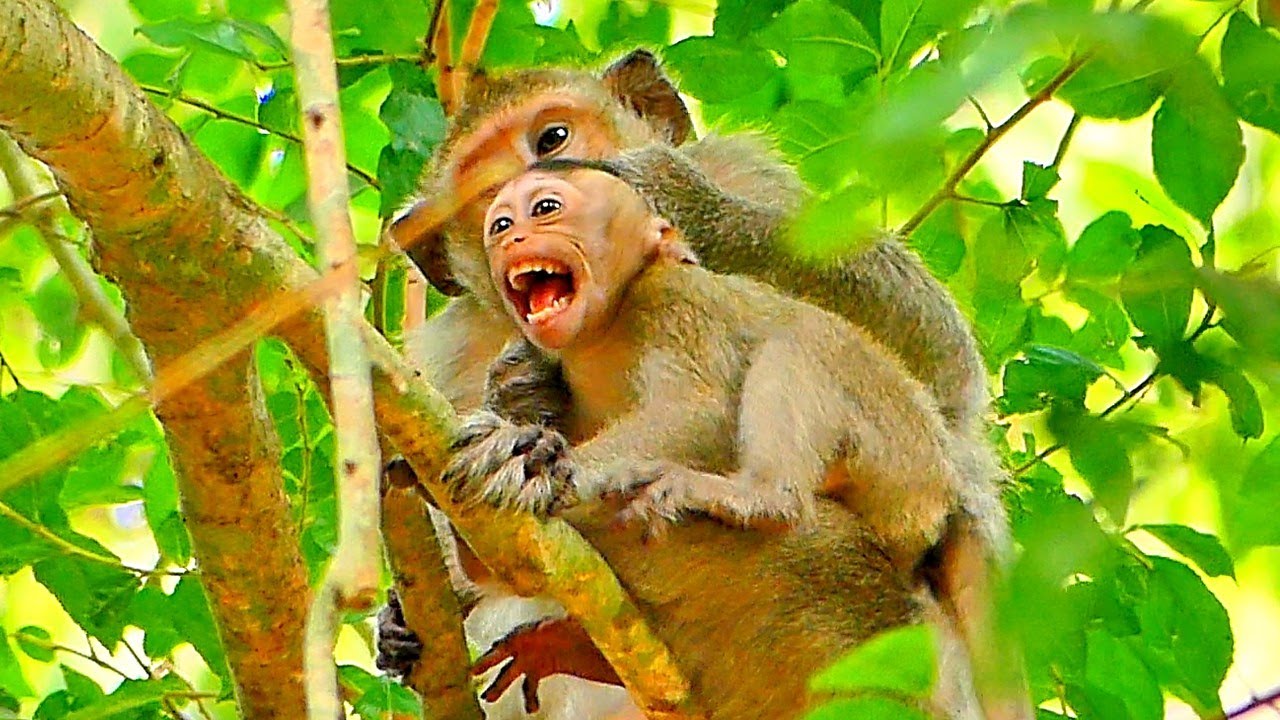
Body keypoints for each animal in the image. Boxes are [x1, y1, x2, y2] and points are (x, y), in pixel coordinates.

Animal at [377, 49, 1012, 719]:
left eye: (552, 139)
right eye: (486, 197)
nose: (524, 199)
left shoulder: (743, 173)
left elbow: (943, 361)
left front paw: (665, 185)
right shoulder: (451, 354)